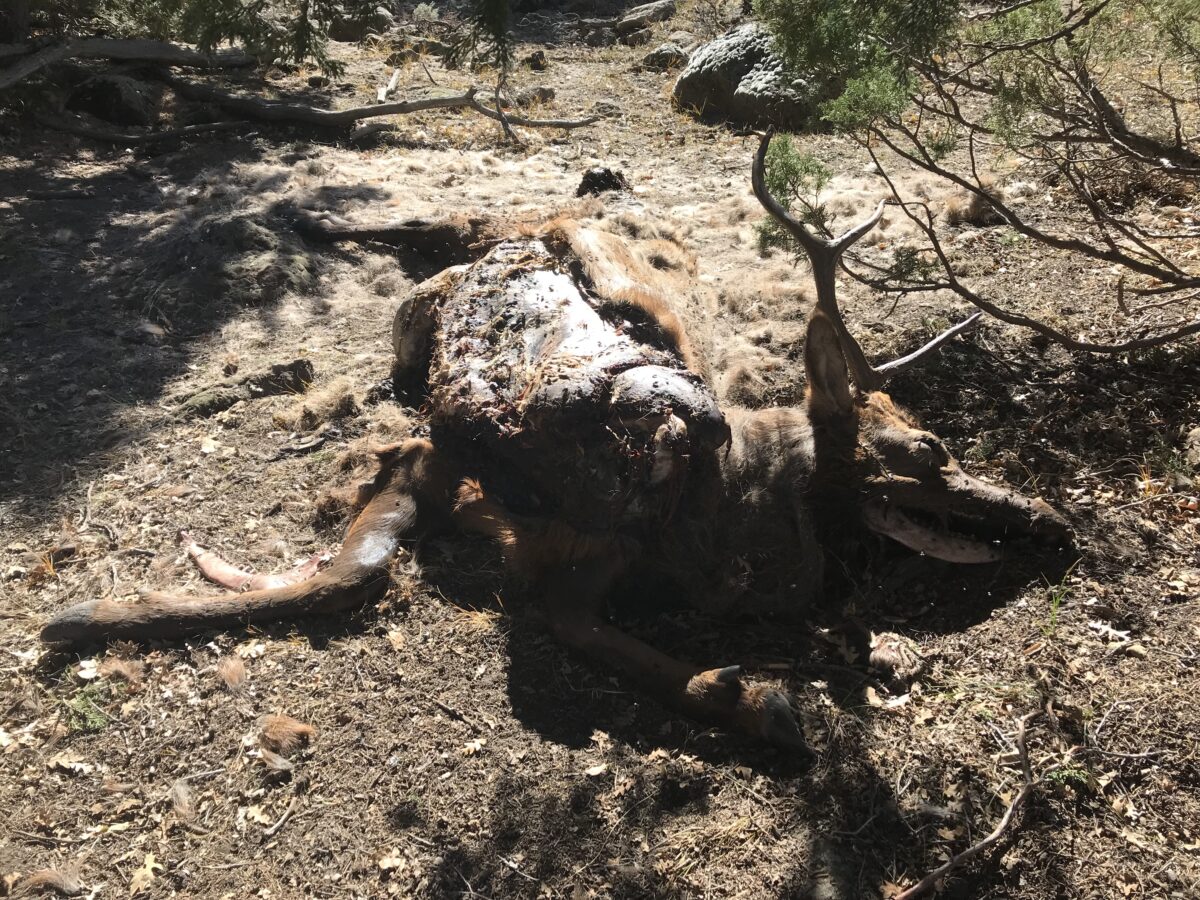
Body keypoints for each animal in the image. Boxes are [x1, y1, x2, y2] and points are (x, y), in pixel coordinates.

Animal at [41, 135, 1070, 750]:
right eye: (930, 448)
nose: (1053, 520)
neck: (717, 521)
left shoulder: (558, 550)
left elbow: (545, 613)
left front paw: (749, 693)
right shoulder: (456, 443)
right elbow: (353, 571)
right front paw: (92, 614)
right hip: (482, 256)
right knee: (452, 221)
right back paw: (315, 214)